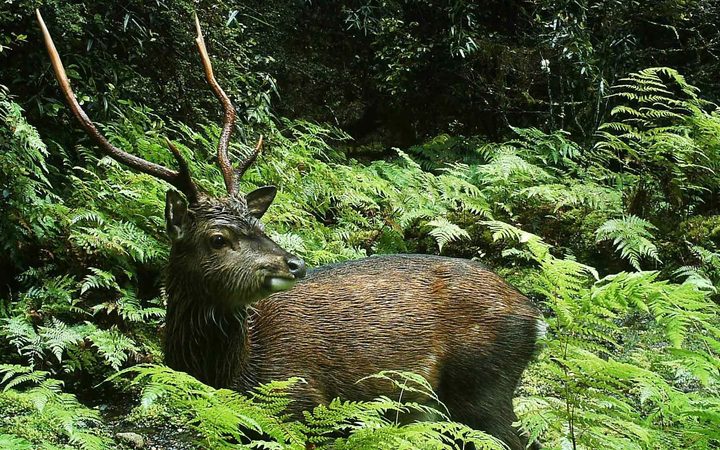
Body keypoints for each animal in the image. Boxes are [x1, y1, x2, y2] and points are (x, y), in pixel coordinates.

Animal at [37, 10, 544, 450]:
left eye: (257, 222)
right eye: (218, 238)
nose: (294, 264)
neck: (230, 374)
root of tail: (534, 316)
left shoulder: (300, 403)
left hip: (482, 387)